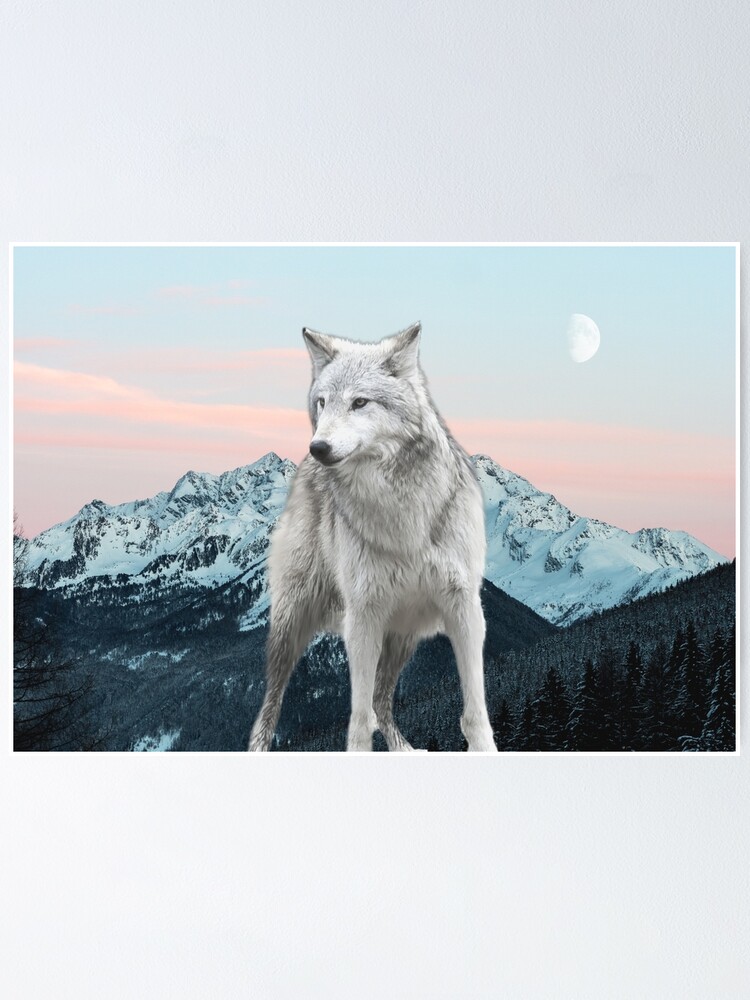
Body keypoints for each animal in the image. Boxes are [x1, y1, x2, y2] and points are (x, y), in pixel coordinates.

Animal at [248, 322, 497, 752]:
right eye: (322, 403)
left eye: (360, 402)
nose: (318, 447)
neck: (402, 514)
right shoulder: (363, 615)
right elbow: (359, 718)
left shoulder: (463, 607)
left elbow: (475, 712)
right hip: (294, 619)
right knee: (273, 701)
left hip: (403, 635)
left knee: (383, 701)